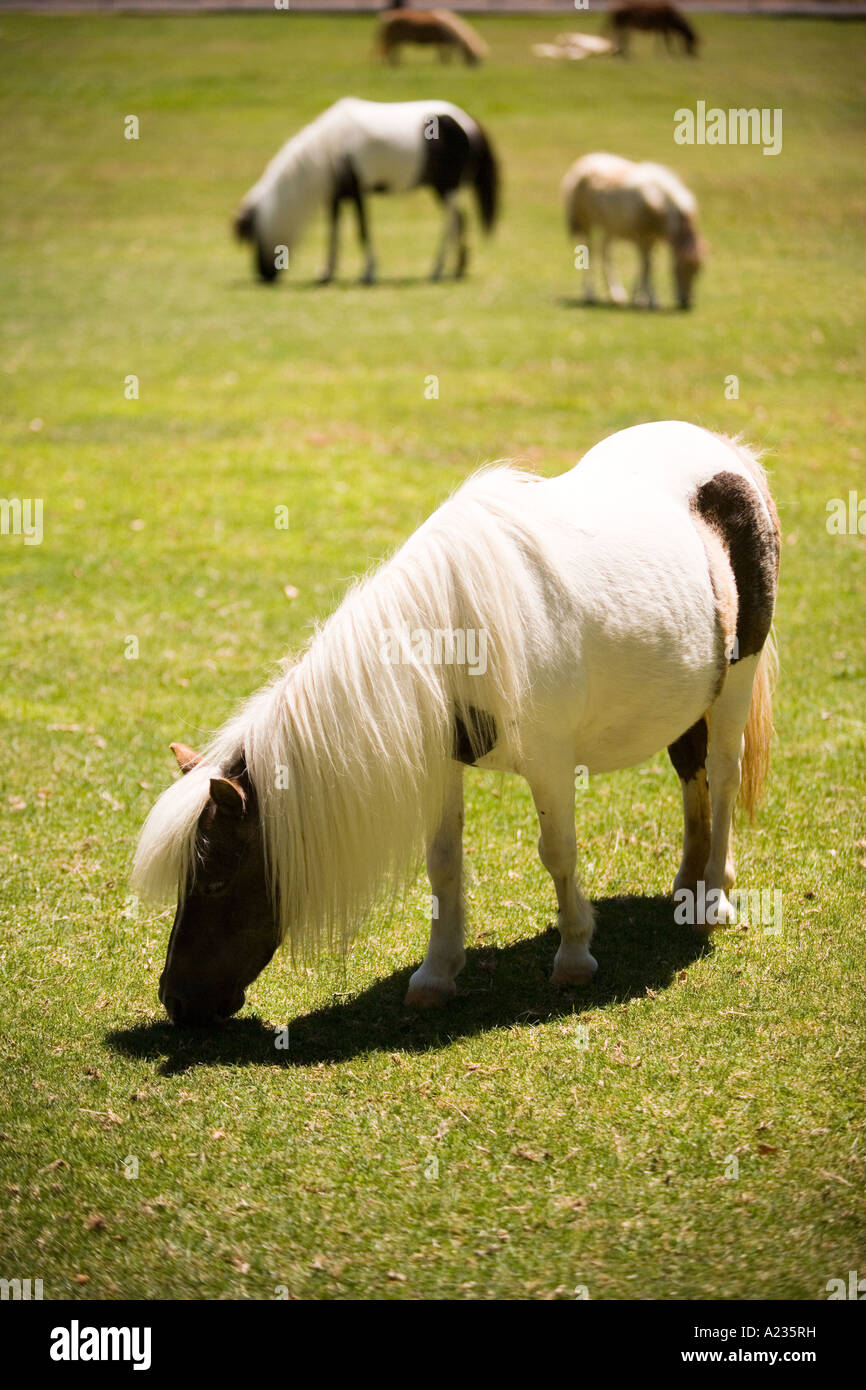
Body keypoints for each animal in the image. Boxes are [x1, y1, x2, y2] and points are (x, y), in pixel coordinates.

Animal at [133, 421, 780, 1026]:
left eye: (215, 881)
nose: (177, 1000)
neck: (454, 639)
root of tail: (725, 450)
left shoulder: (550, 764)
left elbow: (558, 852)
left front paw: (574, 955)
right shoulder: (442, 763)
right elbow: (443, 864)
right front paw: (436, 974)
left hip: (737, 679)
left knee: (721, 775)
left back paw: (712, 901)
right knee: (691, 770)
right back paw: (690, 883)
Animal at [233, 97, 498, 285]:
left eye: (252, 236)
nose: (263, 277)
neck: (327, 149)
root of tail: (469, 122)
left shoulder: (356, 190)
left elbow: (362, 230)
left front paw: (368, 273)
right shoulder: (337, 195)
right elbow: (334, 232)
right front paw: (327, 273)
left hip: (446, 186)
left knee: (451, 222)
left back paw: (437, 270)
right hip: (443, 188)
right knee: (460, 220)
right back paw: (457, 269)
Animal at [562, 152, 705, 310]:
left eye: (698, 271)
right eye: (682, 268)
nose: (686, 303)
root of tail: (584, 160)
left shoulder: (651, 238)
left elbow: (646, 265)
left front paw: (639, 298)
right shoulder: (642, 236)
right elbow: (647, 266)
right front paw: (650, 300)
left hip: (609, 226)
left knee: (605, 255)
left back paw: (617, 295)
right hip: (586, 222)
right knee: (590, 253)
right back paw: (590, 296)